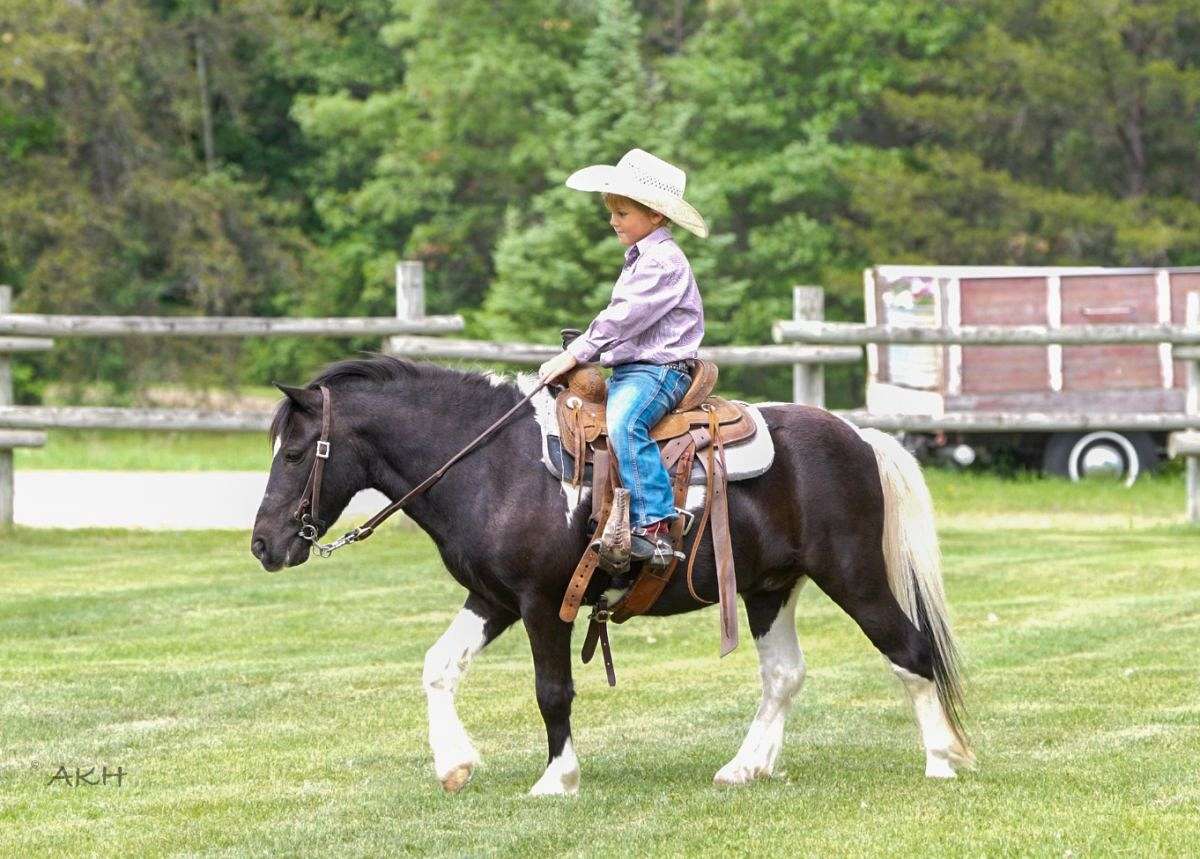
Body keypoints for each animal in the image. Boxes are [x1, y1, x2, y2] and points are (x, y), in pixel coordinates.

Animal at [250, 355, 973, 795]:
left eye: (295, 452)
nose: (263, 544)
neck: (493, 465)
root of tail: (860, 436)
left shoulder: (542, 603)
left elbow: (552, 690)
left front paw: (556, 778)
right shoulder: (491, 597)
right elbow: (439, 666)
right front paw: (454, 765)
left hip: (854, 575)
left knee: (911, 651)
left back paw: (940, 761)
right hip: (768, 589)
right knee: (784, 675)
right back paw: (745, 766)